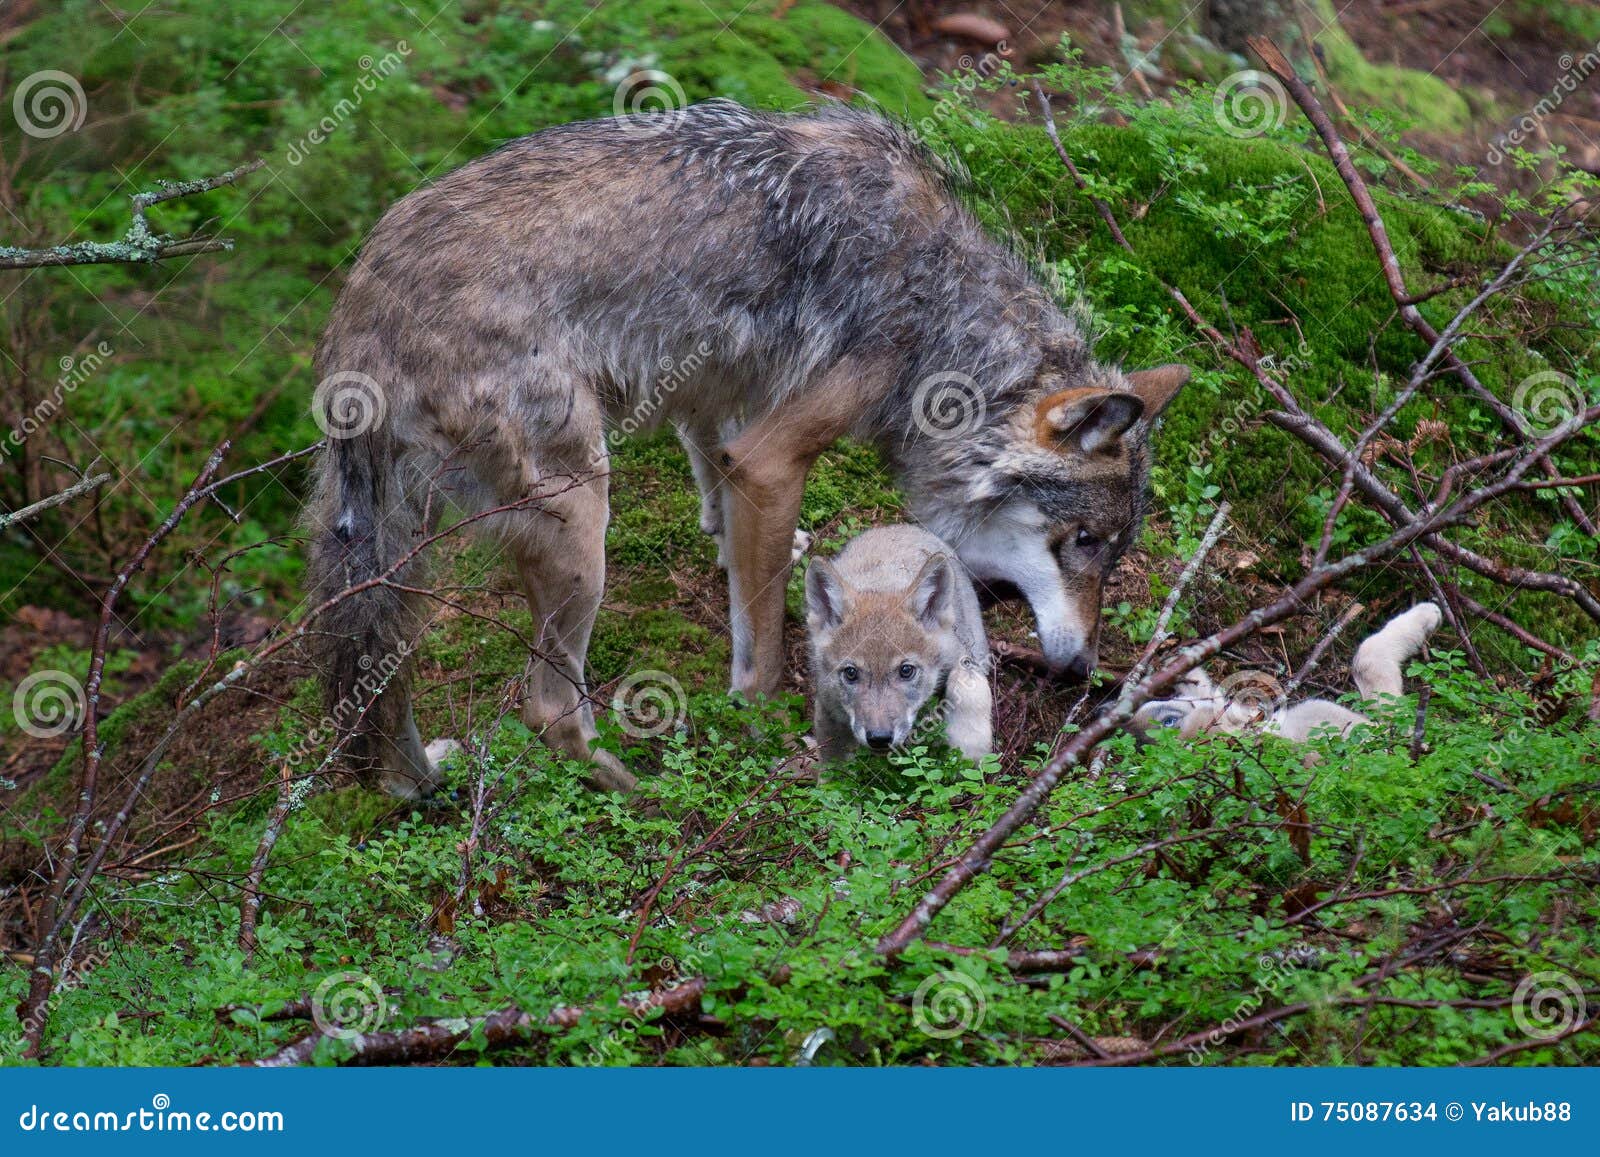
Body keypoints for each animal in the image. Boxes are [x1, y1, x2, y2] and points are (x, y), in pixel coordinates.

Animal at [804, 525, 991, 762]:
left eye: (906, 671)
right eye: (850, 673)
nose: (879, 738)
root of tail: (898, 527)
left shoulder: (964, 656)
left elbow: (969, 689)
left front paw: (970, 754)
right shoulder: (828, 706)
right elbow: (833, 765)